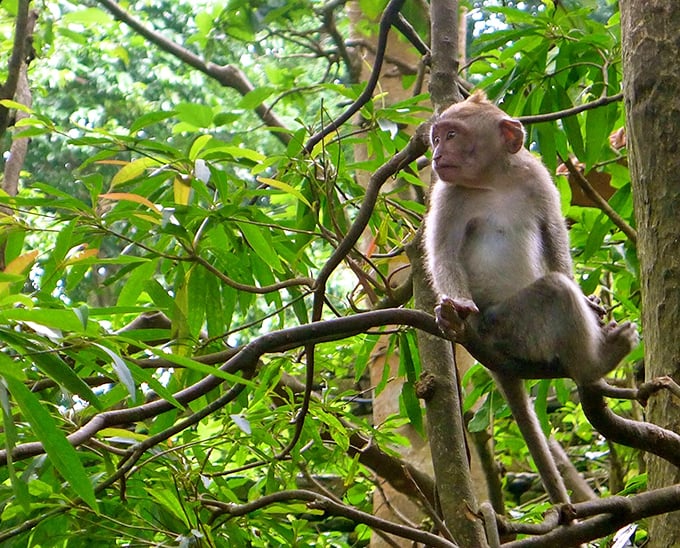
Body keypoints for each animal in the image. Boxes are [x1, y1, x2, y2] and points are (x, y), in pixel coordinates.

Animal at [423, 91, 639, 504]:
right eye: (437, 138)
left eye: (451, 135)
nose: (437, 154)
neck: (493, 182)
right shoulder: (446, 194)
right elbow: (443, 253)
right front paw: (453, 311)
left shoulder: (535, 177)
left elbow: (552, 235)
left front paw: (590, 303)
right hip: (506, 326)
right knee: (553, 293)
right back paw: (596, 362)